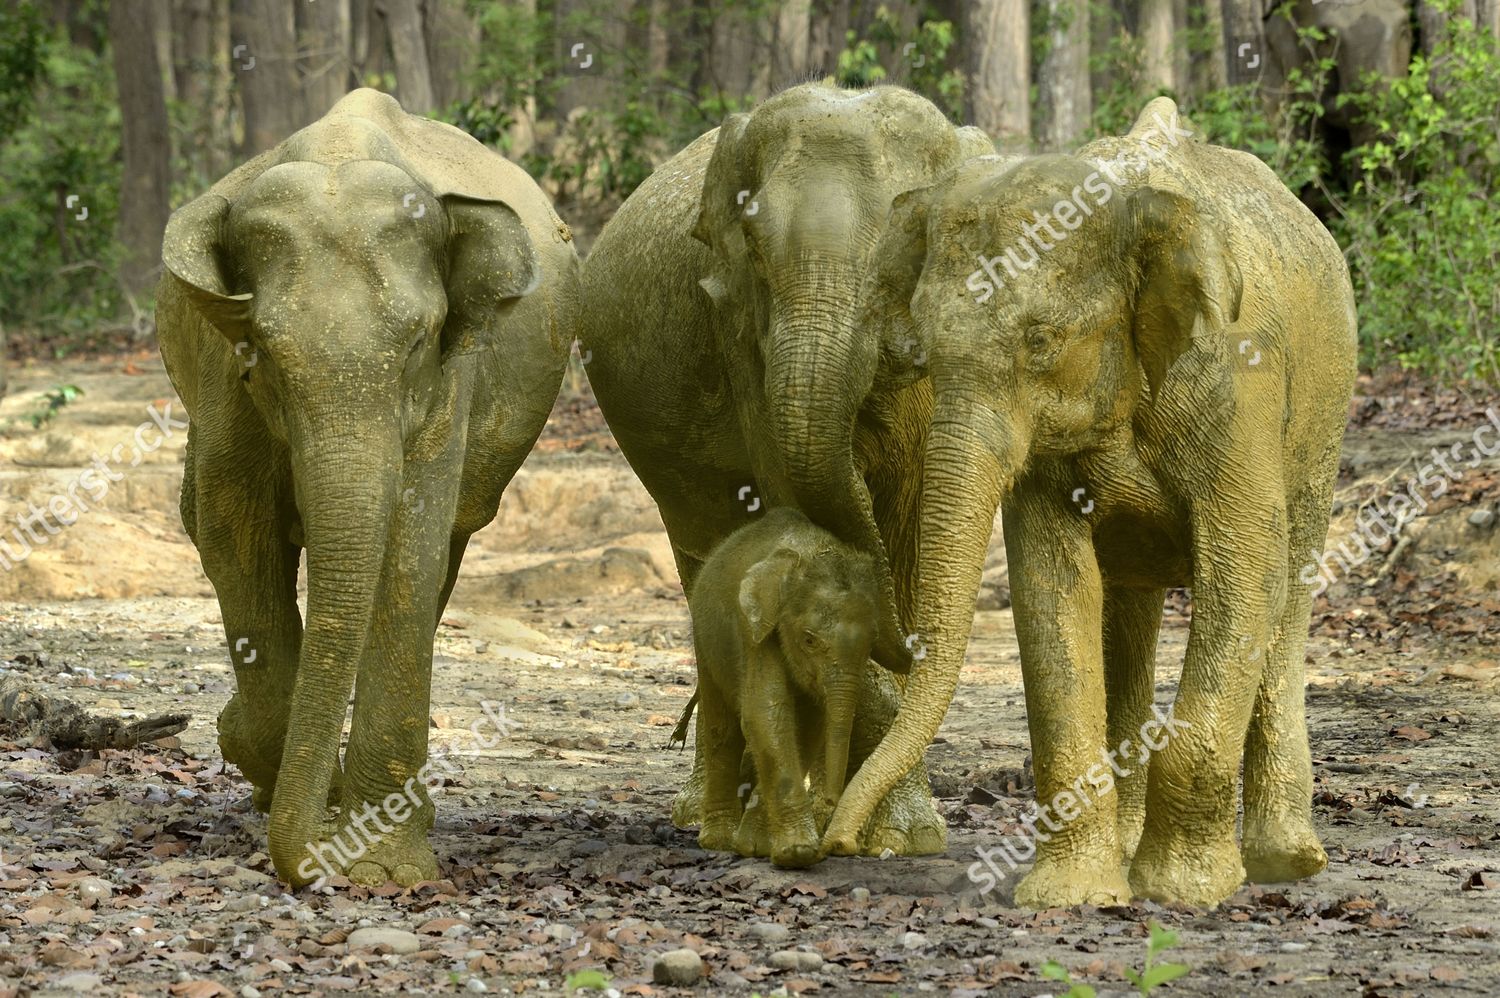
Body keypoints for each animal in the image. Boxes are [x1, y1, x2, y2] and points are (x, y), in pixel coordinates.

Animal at [156, 89, 578, 886]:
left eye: (416, 345)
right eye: (264, 354)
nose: (308, 865)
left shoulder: (453, 378)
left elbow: (413, 544)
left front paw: (382, 867)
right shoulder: (225, 379)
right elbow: (235, 531)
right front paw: (258, 757)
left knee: (444, 556)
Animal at [692, 507, 883, 869]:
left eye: (870, 647)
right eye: (809, 640)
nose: (831, 802)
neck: (812, 552)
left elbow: (807, 726)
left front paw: (760, 847)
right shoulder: (754, 630)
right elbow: (765, 713)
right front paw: (798, 854)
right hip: (703, 639)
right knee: (721, 729)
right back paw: (718, 841)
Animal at [826, 97, 1356, 907]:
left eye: (1042, 341)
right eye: (929, 349)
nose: (838, 844)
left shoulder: (1237, 383)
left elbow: (1246, 565)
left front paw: (1185, 893)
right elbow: (1050, 582)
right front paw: (1069, 898)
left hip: (1323, 421)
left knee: (1288, 591)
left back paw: (1286, 862)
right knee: (1128, 611)